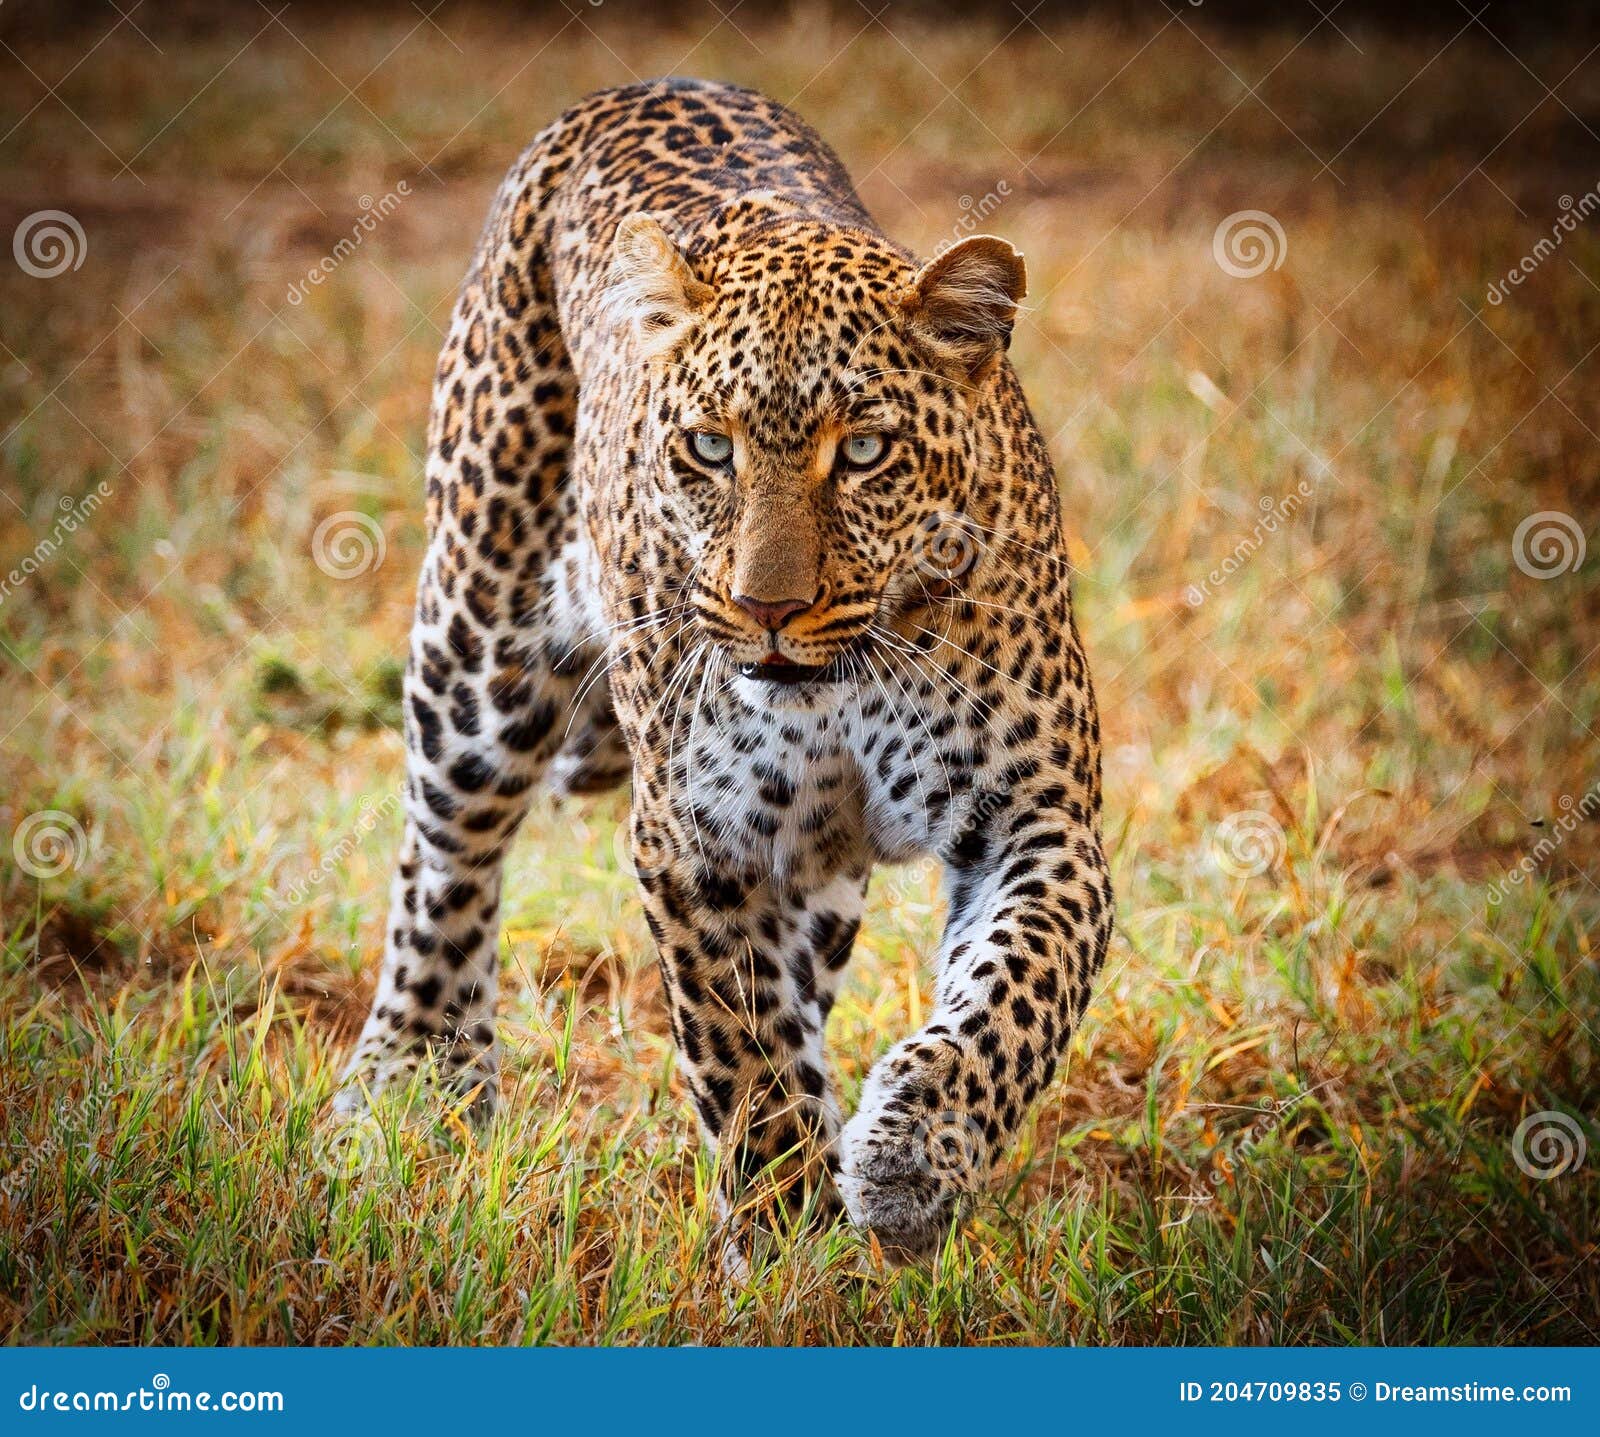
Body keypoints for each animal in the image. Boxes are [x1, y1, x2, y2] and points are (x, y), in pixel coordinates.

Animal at [336, 77, 1113, 1262]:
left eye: (865, 451)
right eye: (709, 448)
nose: (768, 608)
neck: (844, 686)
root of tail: (644, 83)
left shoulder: (1035, 814)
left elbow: (1017, 991)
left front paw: (912, 1160)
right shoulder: (697, 838)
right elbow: (744, 1054)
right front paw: (793, 1236)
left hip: (821, 869)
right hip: (476, 639)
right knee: (444, 854)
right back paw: (416, 1078)